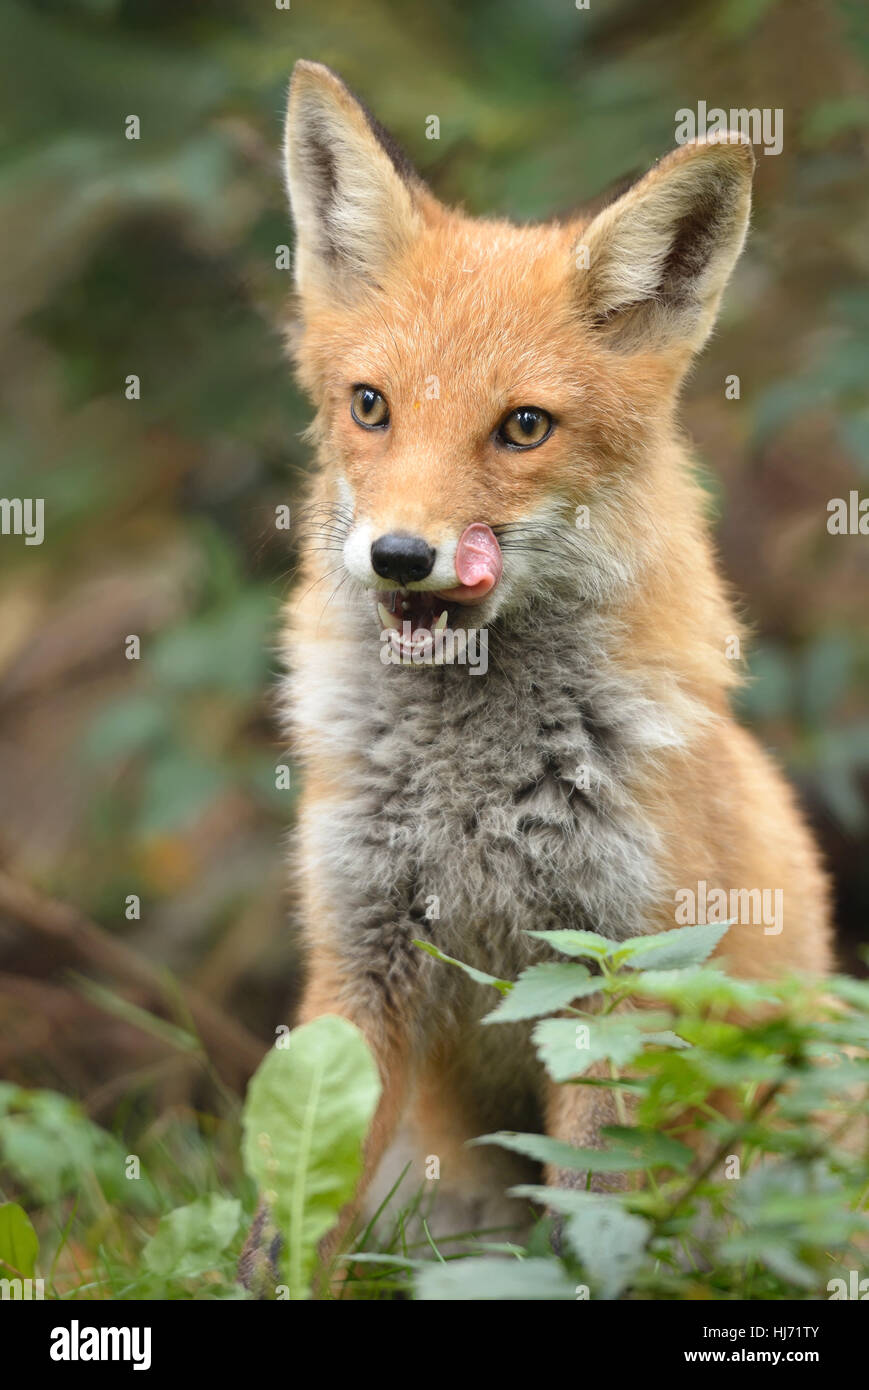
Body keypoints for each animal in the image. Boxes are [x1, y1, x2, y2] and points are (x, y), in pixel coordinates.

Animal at [241, 60, 832, 1285]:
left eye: (522, 427)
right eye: (369, 406)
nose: (400, 555)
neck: (468, 795)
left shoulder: (614, 968)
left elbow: (594, 1210)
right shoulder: (359, 950)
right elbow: (292, 1211)